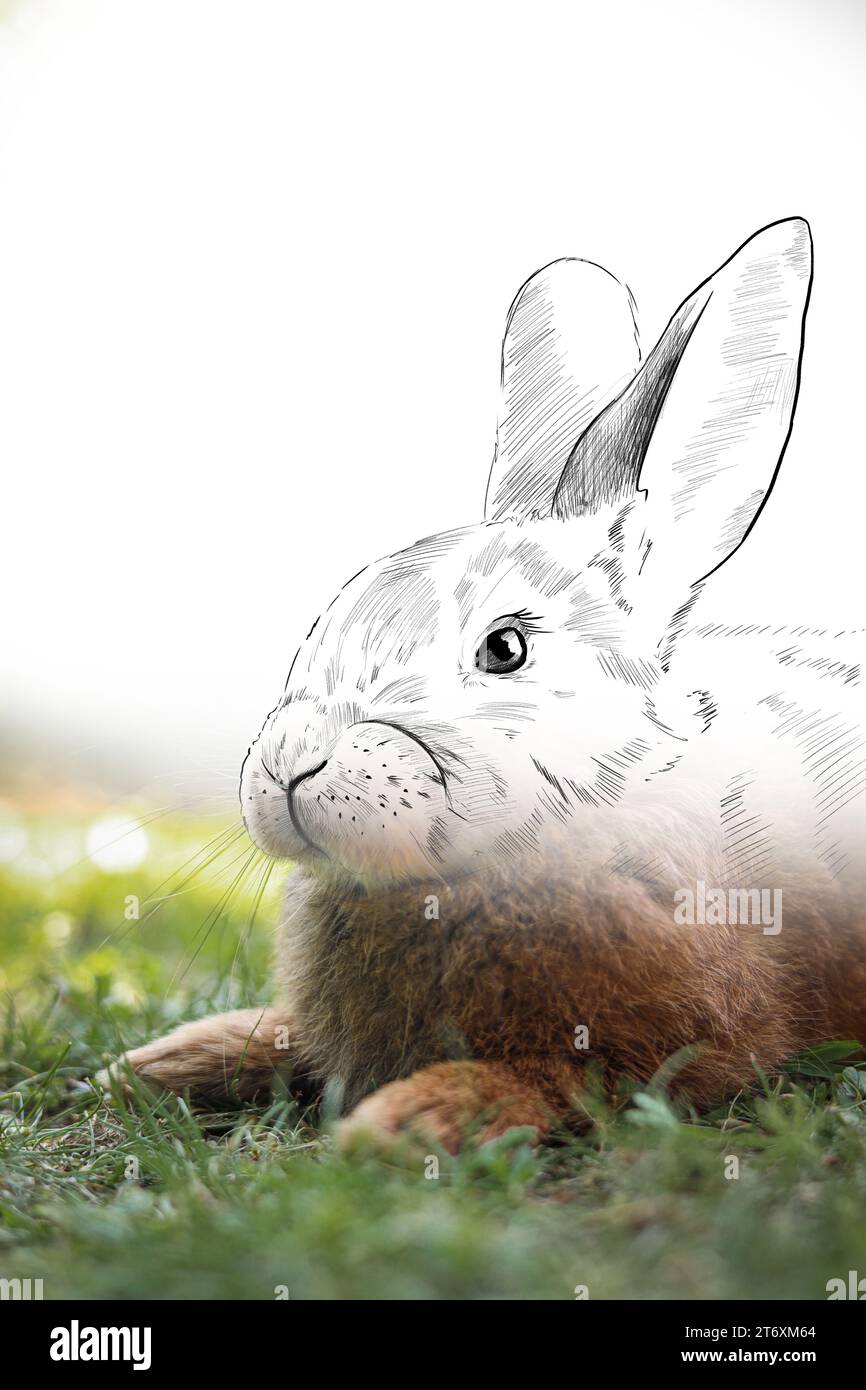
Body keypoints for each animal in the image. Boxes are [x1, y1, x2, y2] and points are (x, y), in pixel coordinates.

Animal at [106, 218, 866, 1152]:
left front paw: (401, 1123)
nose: (289, 769)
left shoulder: (649, 1049)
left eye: (505, 649)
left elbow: (544, 1081)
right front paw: (156, 1064)